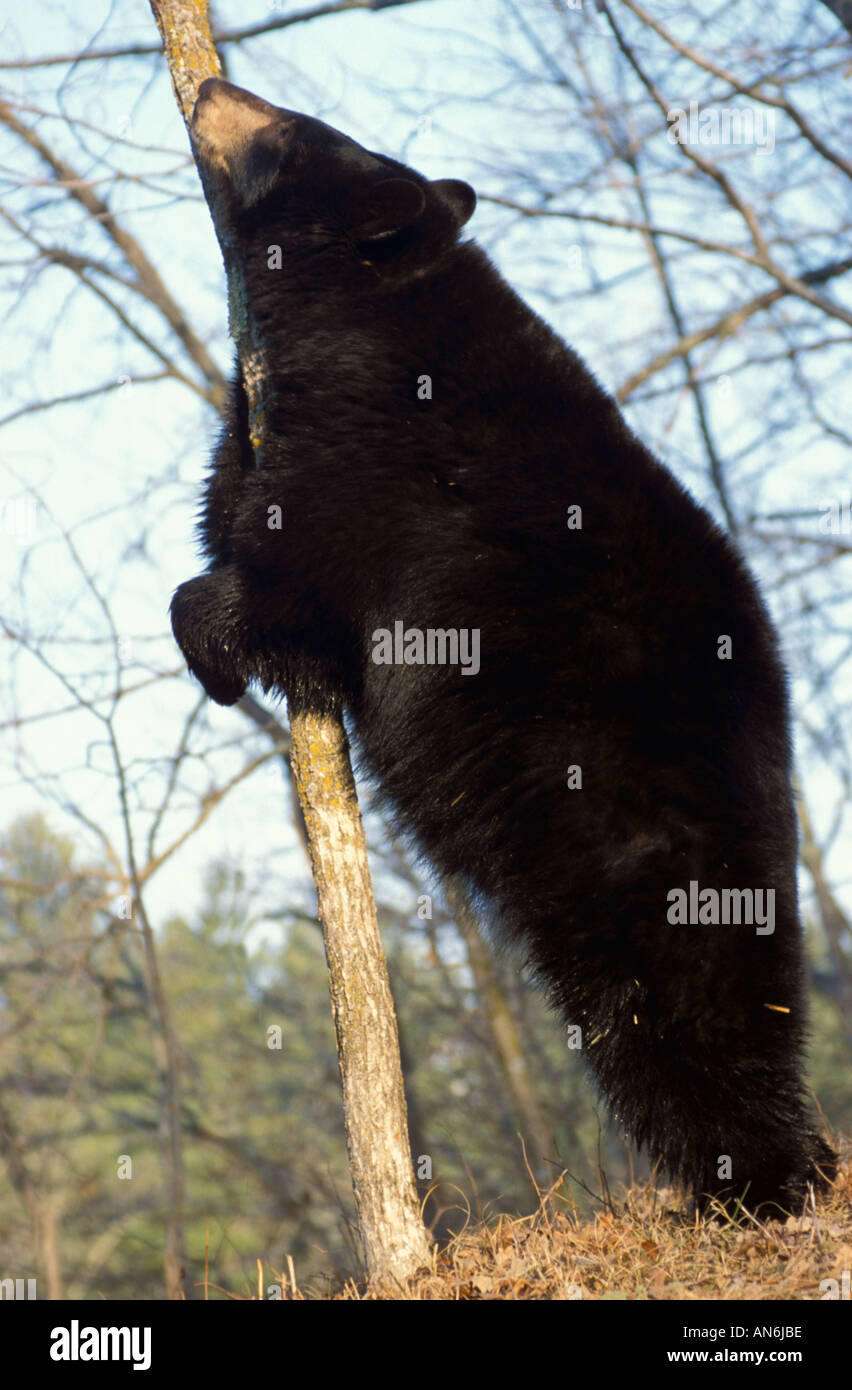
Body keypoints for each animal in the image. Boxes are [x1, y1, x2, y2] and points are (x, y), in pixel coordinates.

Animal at [171, 77, 836, 1214]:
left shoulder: (381, 457)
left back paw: (759, 1182)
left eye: (288, 130)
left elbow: (287, 580)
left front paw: (212, 653)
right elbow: (236, 503)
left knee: (696, 1006)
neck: (363, 307)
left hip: (641, 827)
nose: (214, 84)